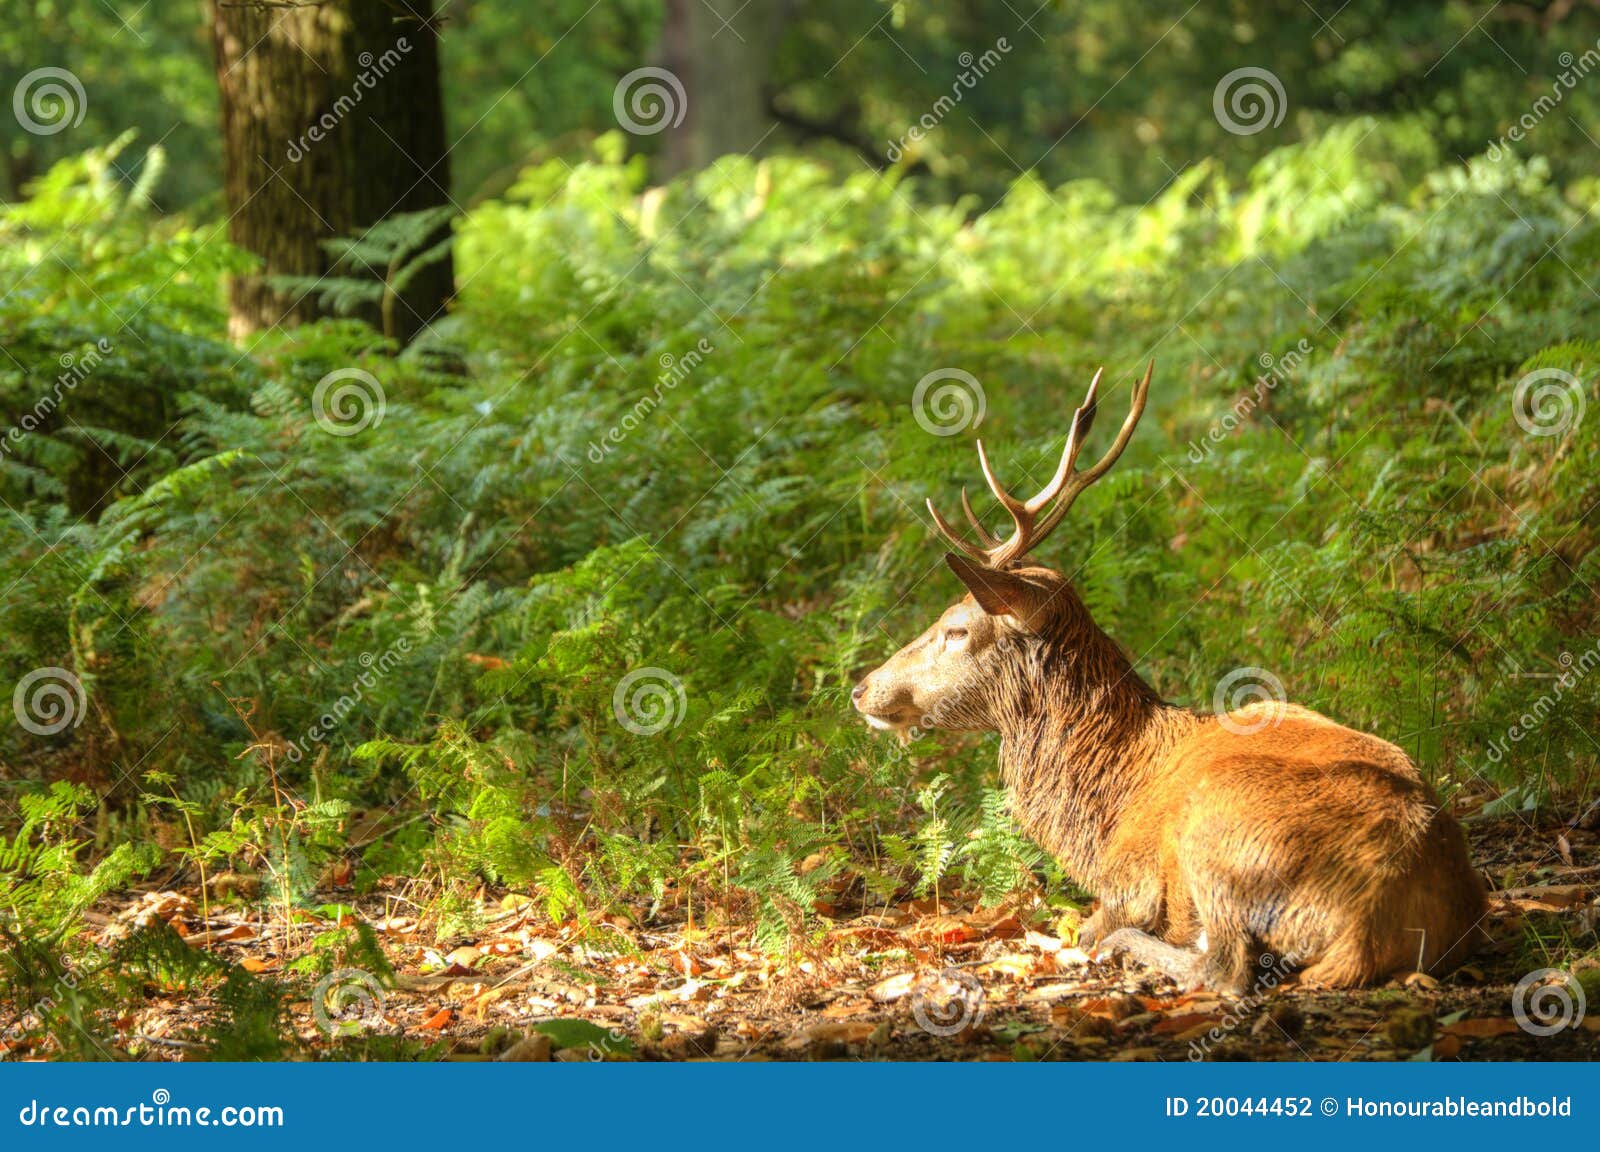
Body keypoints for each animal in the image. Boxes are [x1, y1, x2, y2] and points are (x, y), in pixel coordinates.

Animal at [851, 363, 1487, 992]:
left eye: (956, 628)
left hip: (1218, 826)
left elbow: (1086, 924)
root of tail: (1370, 925)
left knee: (1224, 967)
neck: (1105, 803)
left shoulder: (1128, 880)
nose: (861, 687)